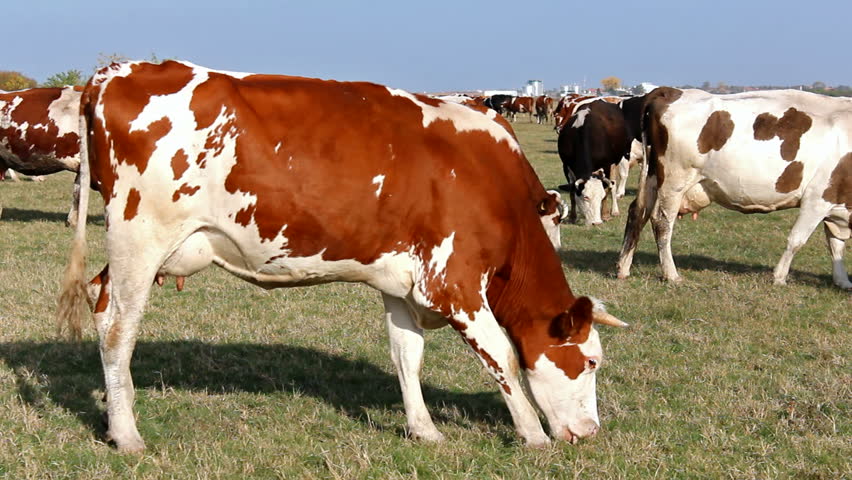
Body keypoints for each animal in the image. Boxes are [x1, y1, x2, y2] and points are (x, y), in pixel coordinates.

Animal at [56, 60, 627, 453]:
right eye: (591, 361)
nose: (590, 432)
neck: (487, 179)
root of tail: (117, 71)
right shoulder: (456, 284)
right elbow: (504, 360)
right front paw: (534, 436)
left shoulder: (403, 285)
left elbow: (406, 356)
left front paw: (424, 430)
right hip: (140, 238)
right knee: (117, 328)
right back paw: (127, 433)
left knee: (100, 303)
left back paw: (115, 412)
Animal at [557, 96, 647, 225]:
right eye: (586, 197)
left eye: (601, 196)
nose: (597, 222)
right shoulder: (566, 165)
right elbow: (572, 192)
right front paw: (572, 217)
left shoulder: (607, 165)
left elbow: (608, 189)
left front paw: (605, 215)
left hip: (617, 161)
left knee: (614, 185)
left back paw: (614, 210)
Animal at [617, 87, 852, 289]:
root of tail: (672, 91)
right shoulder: (817, 199)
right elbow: (797, 240)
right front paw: (779, 277)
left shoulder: (836, 204)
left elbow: (836, 245)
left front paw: (842, 281)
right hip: (674, 180)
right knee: (661, 222)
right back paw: (671, 274)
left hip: (652, 176)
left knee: (638, 213)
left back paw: (623, 268)